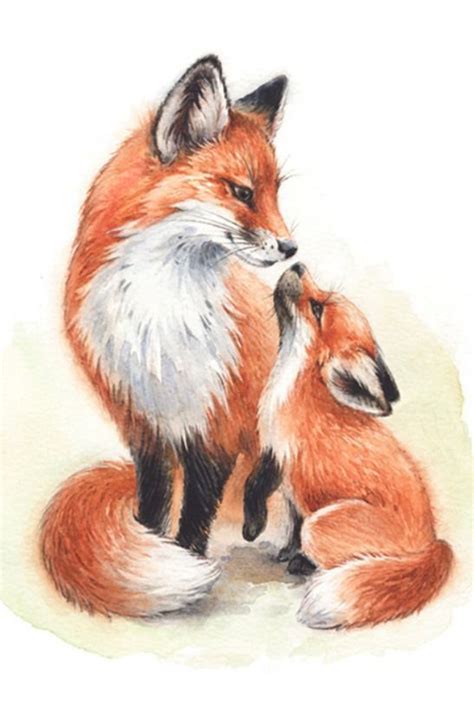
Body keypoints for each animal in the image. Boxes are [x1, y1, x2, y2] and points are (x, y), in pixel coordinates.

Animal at [40, 55, 297, 618]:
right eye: (242, 192)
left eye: (276, 193)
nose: (291, 247)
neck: (158, 319)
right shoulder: (144, 425)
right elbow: (155, 506)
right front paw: (151, 552)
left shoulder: (215, 427)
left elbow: (195, 515)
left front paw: (187, 566)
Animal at [242, 262, 453, 629]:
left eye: (317, 308)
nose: (298, 265)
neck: (294, 386)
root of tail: (432, 543)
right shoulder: (288, 482)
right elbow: (291, 525)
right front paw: (286, 551)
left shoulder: (279, 456)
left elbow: (254, 489)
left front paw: (254, 529)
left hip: (321, 526)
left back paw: (312, 567)